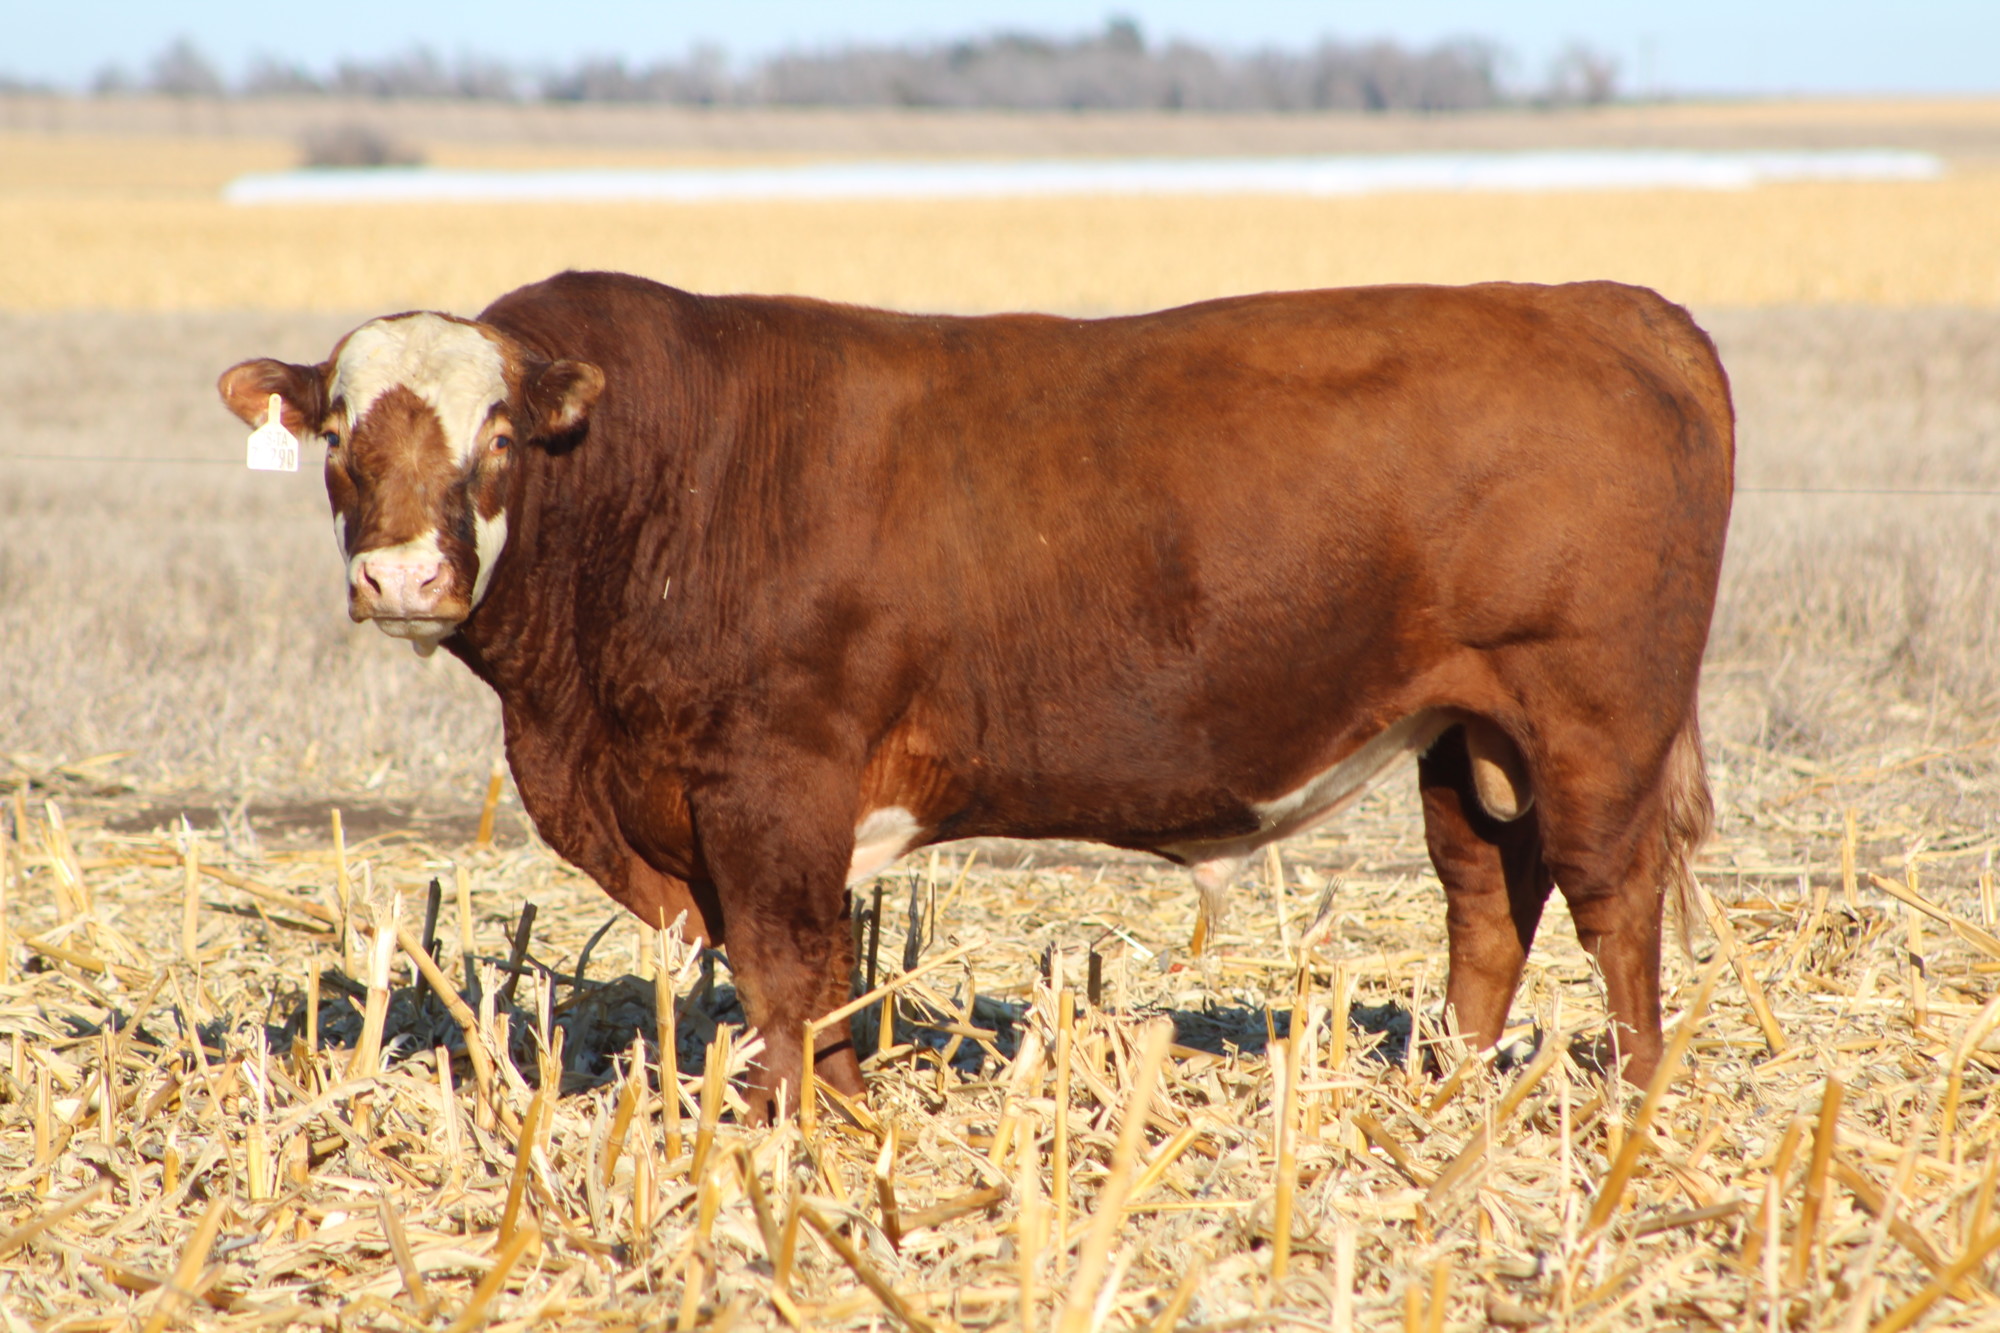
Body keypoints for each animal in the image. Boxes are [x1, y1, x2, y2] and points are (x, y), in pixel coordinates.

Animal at [219, 270, 1733, 1120]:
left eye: (493, 432)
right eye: (340, 432)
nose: (401, 577)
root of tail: (1601, 303)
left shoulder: (774, 779)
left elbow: (787, 964)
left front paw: (808, 1126)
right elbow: (806, 971)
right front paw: (822, 1109)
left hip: (1589, 715)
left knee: (1610, 898)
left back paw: (1634, 1095)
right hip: (1463, 729)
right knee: (1487, 897)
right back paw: (1451, 1084)